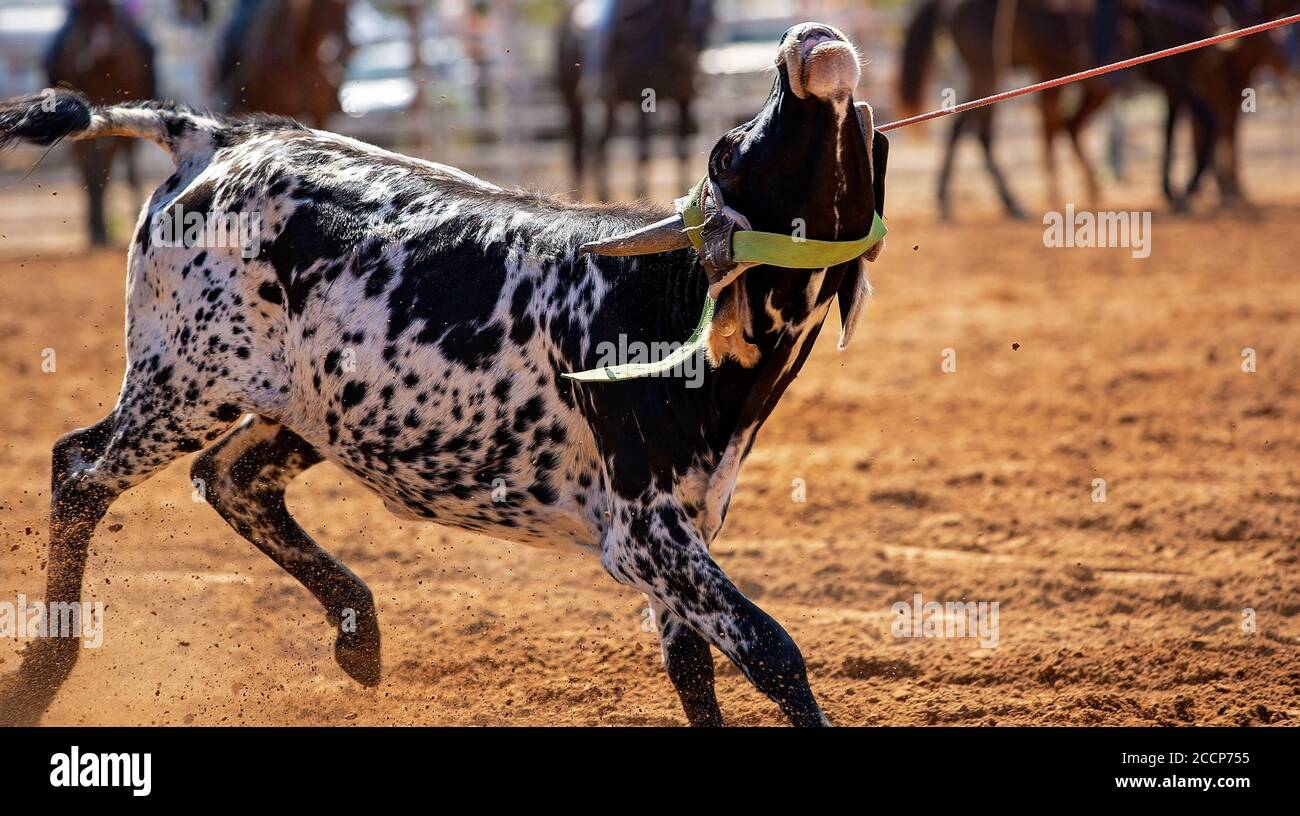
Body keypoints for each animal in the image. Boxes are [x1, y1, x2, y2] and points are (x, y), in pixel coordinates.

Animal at [0, 21, 887, 726]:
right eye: (733, 147)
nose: (806, 36)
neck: (669, 297)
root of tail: (215, 138)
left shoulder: (682, 527)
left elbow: (695, 668)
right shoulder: (644, 531)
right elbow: (770, 649)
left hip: (308, 408)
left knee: (231, 480)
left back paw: (358, 632)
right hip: (183, 385)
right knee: (80, 471)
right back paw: (45, 673)